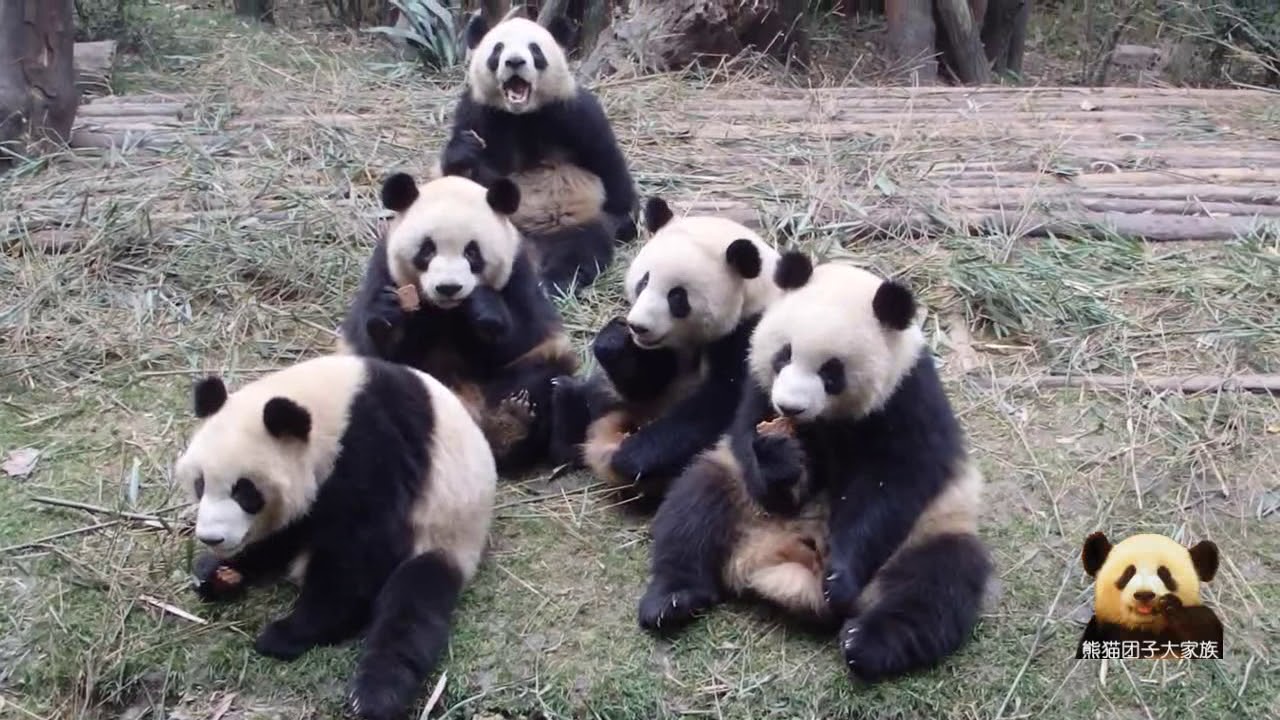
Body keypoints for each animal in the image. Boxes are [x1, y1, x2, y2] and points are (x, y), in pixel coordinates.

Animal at [173, 354, 496, 720]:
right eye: (200, 484)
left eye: (244, 491)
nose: (211, 538)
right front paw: (218, 571)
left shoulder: (374, 447)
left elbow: (361, 552)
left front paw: (285, 633)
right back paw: (216, 574)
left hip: (444, 531)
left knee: (409, 610)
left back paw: (374, 696)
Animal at [338, 172, 578, 474]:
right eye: (427, 250)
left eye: (472, 253)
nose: (448, 287)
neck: (447, 312)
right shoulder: (384, 272)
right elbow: (379, 343)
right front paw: (387, 314)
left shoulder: (519, 274)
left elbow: (523, 336)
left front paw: (484, 309)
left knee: (544, 377)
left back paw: (511, 423)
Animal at [439, 12, 638, 295]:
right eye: (497, 49)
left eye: (535, 49)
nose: (514, 61)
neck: (522, 115)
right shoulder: (477, 114)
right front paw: (464, 152)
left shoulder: (574, 113)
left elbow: (606, 159)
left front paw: (624, 218)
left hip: (570, 225)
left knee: (580, 249)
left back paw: (555, 282)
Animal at [548, 196, 782, 506]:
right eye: (644, 281)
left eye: (677, 296)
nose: (638, 326)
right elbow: (646, 382)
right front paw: (614, 341)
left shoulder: (751, 335)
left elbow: (721, 402)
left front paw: (633, 456)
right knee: (585, 394)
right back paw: (565, 425)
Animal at [638, 252, 994, 683]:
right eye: (783, 355)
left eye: (831, 371)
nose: (790, 407)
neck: (826, 420)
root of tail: (776, 566)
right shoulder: (757, 385)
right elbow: (750, 442)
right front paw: (779, 455)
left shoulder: (908, 398)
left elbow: (892, 483)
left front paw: (840, 578)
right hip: (737, 496)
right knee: (694, 508)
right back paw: (671, 600)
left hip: (932, 526)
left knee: (936, 583)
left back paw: (867, 643)